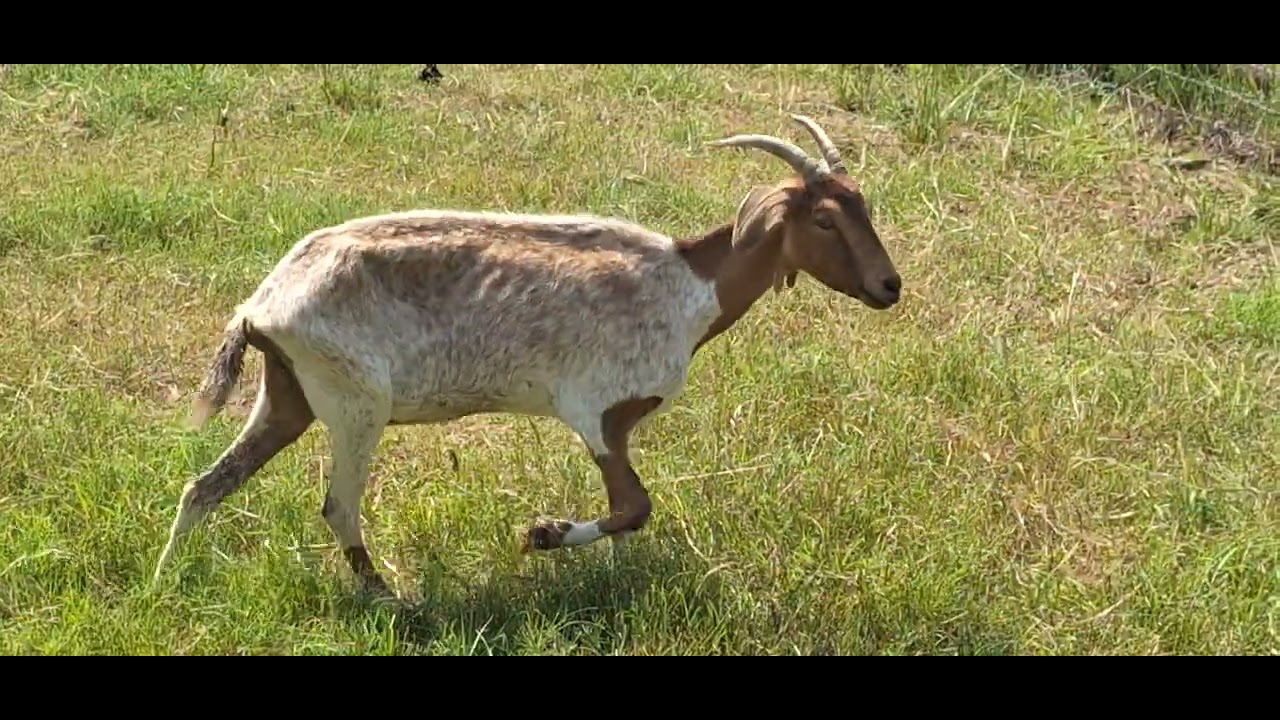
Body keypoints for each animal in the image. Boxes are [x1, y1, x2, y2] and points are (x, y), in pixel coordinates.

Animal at [152, 114, 903, 597]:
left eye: (864, 206)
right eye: (823, 218)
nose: (889, 286)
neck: (688, 284)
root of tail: (259, 305)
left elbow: (628, 520)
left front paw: (614, 579)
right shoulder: (599, 410)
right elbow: (634, 506)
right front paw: (542, 534)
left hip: (290, 394)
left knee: (205, 485)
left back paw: (165, 581)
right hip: (355, 401)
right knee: (337, 505)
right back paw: (391, 597)